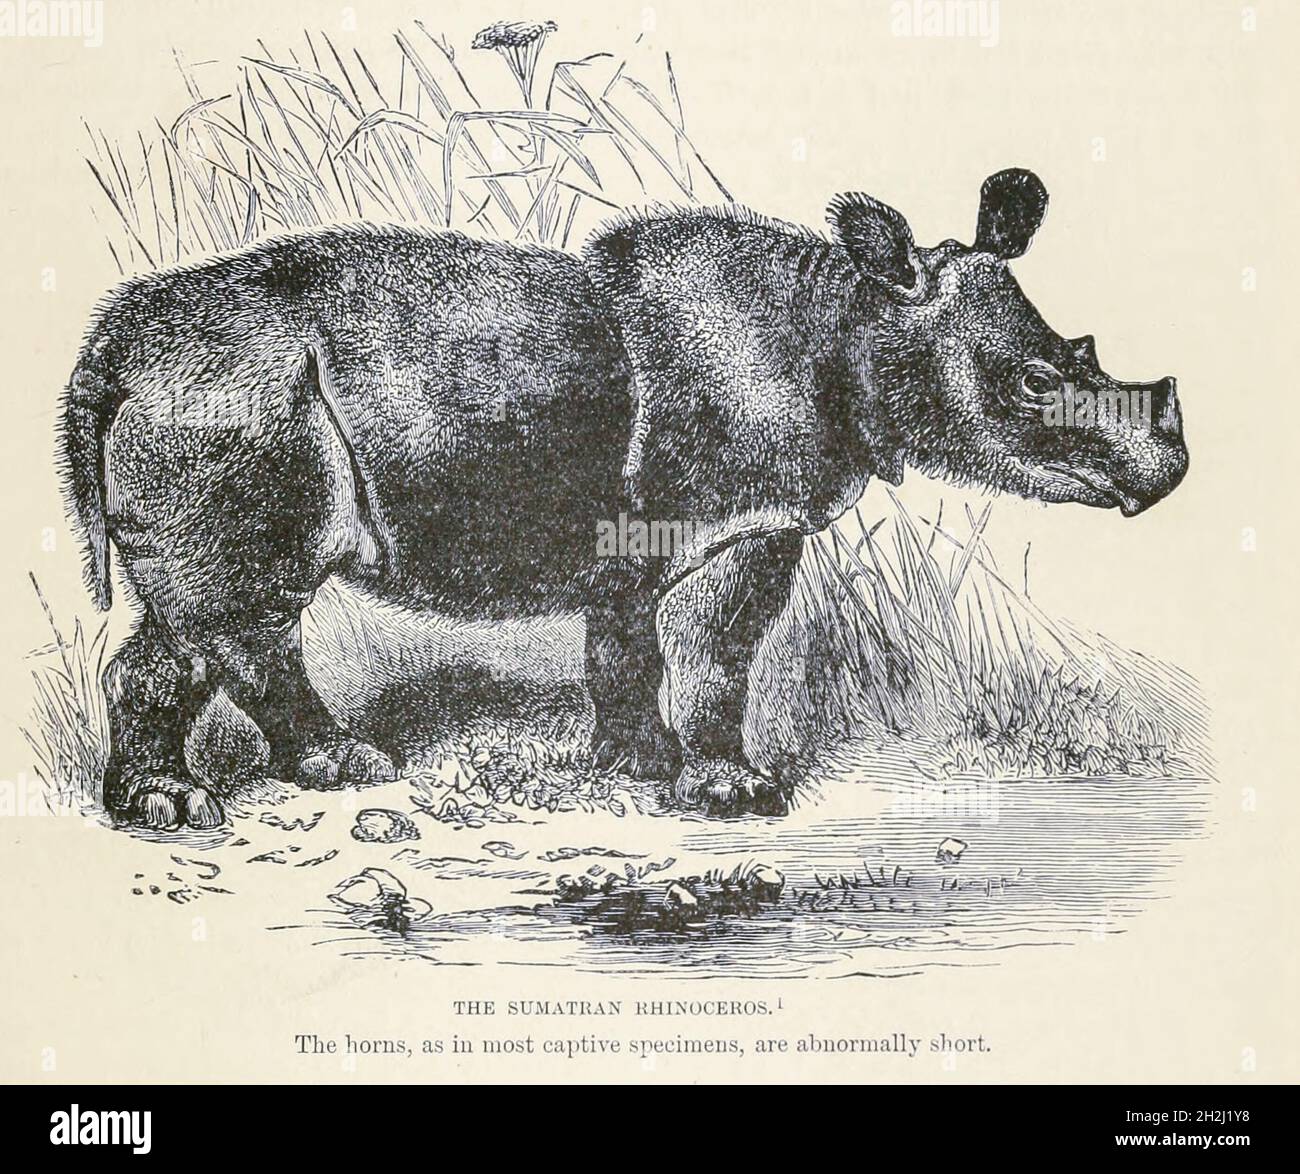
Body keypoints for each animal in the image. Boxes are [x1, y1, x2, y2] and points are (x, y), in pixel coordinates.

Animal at [59, 168, 1187, 827]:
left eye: (1071, 351)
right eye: (1034, 385)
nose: (1167, 472)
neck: (855, 318)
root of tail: (113, 349)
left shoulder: (677, 530)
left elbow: (646, 648)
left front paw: (637, 764)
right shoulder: (723, 519)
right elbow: (702, 647)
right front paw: (725, 792)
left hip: (204, 400)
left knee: (194, 616)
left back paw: (179, 801)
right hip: (236, 397)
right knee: (247, 605)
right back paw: (317, 776)